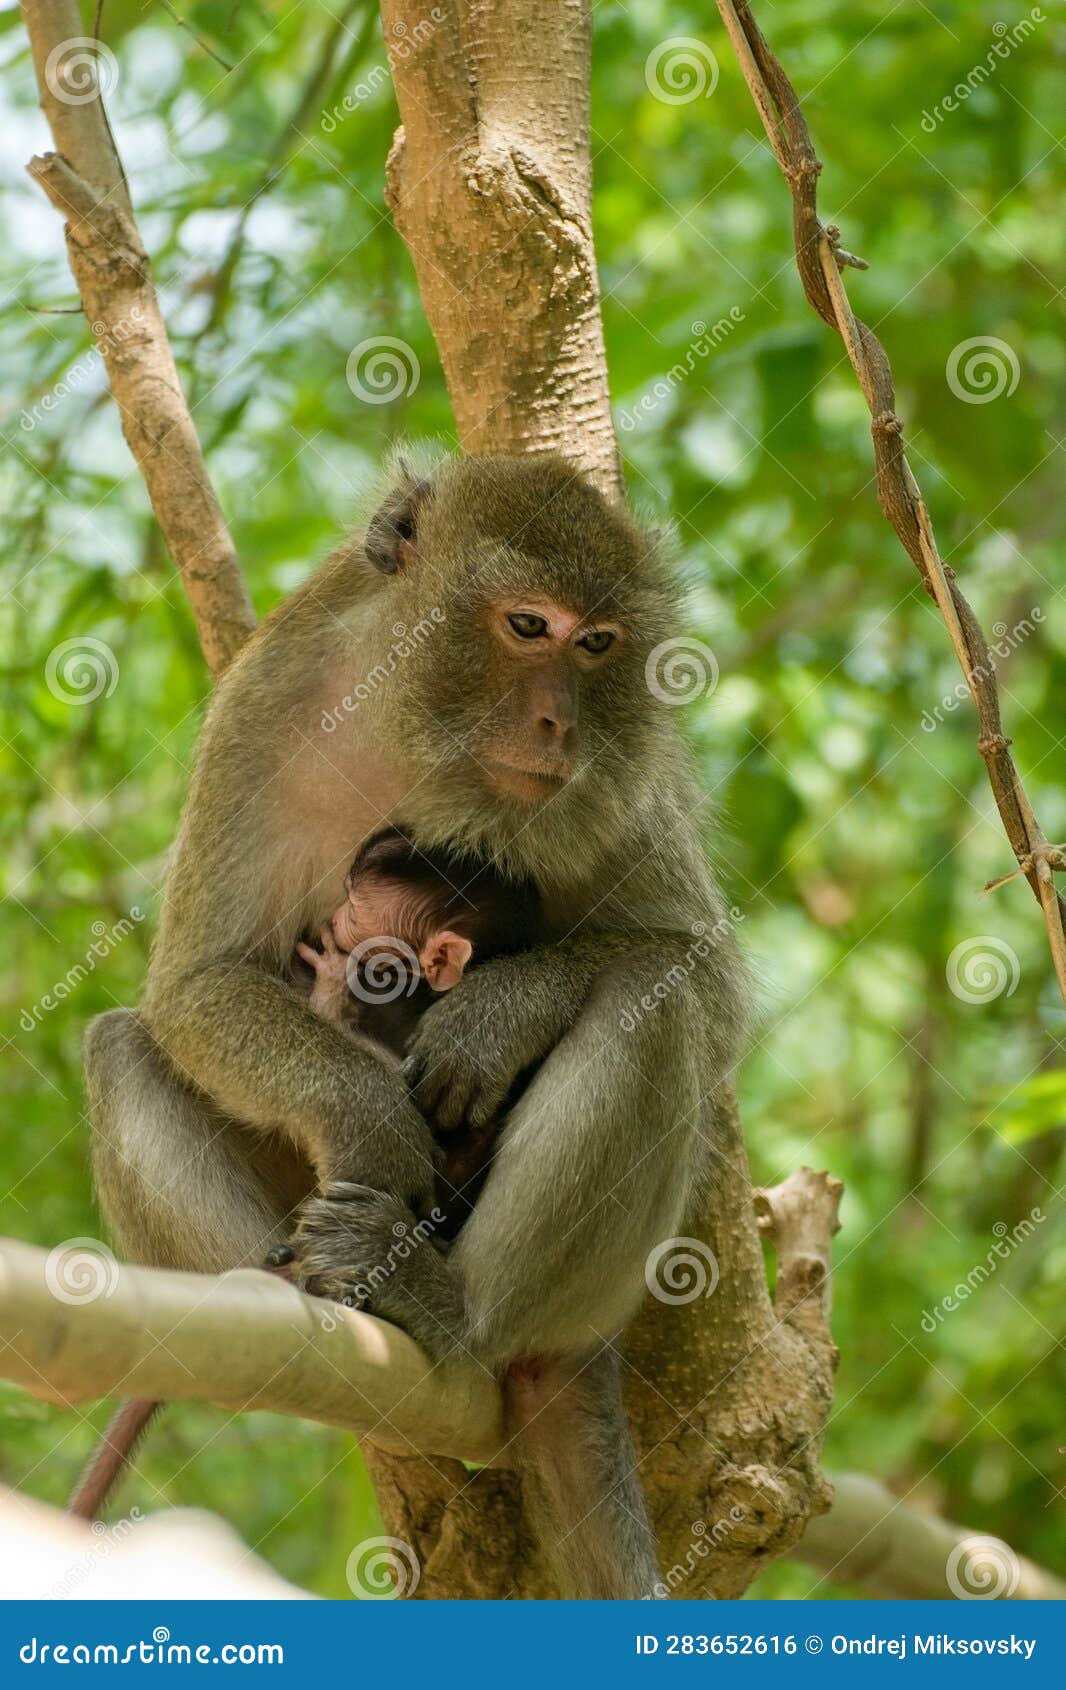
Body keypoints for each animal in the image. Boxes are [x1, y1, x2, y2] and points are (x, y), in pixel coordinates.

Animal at [82, 454, 747, 1598]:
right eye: (527, 625)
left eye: (598, 645)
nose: (560, 725)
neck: (414, 727)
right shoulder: (262, 703)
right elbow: (195, 985)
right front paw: (370, 1116)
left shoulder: (626, 770)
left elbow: (702, 976)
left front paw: (494, 1014)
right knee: (123, 1046)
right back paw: (292, 1295)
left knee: (649, 1005)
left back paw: (457, 1316)